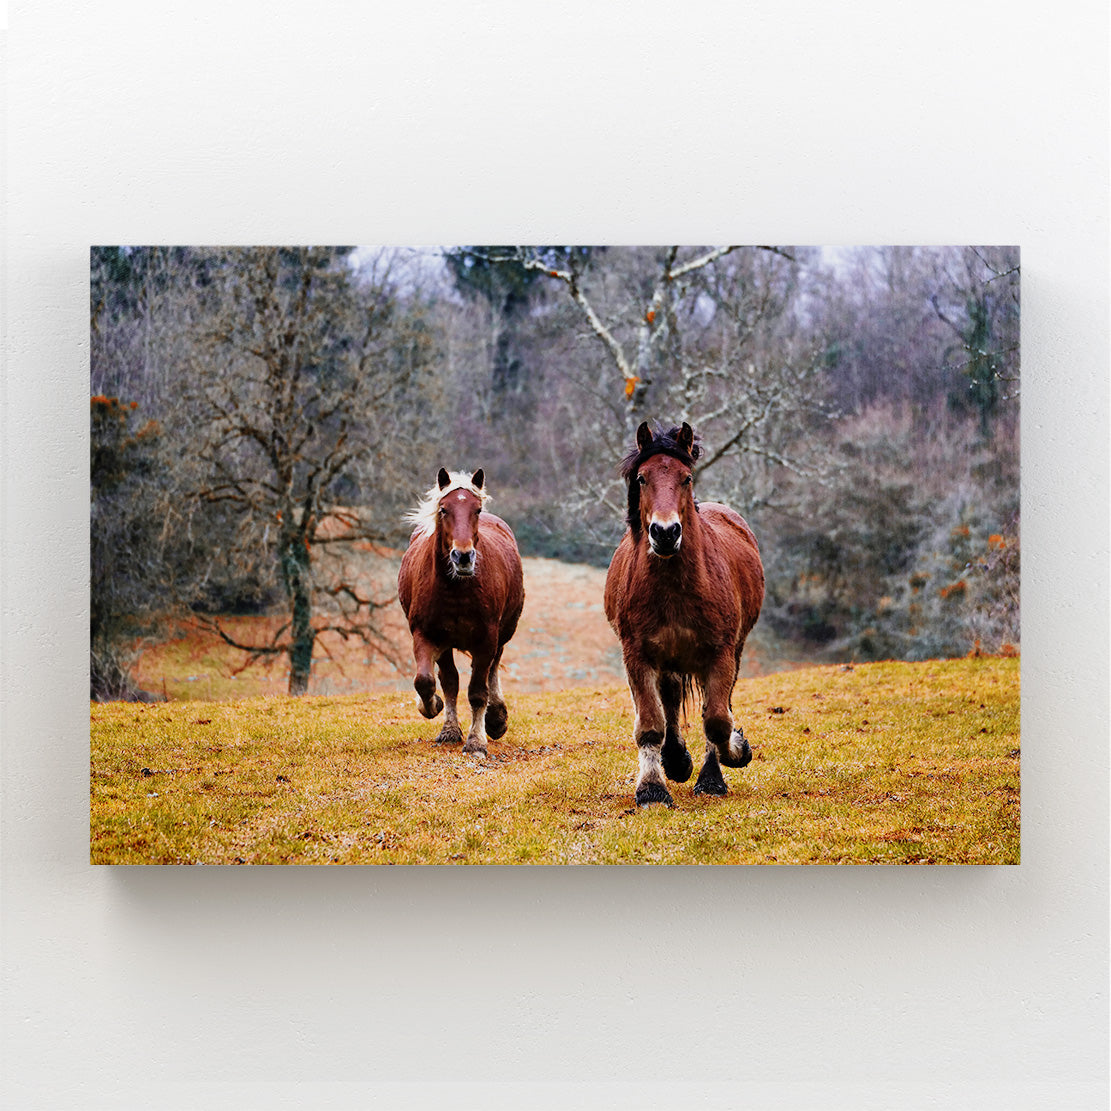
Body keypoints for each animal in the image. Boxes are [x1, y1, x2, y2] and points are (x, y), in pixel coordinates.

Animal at [397, 468, 525, 756]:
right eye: (444, 509)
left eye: (476, 510)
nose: (463, 557)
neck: (456, 589)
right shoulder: (426, 635)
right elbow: (428, 681)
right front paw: (434, 709)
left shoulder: (486, 639)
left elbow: (478, 691)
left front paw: (477, 741)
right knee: (450, 680)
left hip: (502, 634)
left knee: (493, 669)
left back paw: (496, 719)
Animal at [603, 422, 765, 806]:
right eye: (642, 478)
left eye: (686, 478)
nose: (665, 533)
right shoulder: (638, 656)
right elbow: (651, 724)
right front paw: (652, 788)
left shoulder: (720, 654)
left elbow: (717, 720)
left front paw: (733, 755)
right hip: (668, 660)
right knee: (671, 701)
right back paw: (675, 760)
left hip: (730, 653)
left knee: (713, 706)